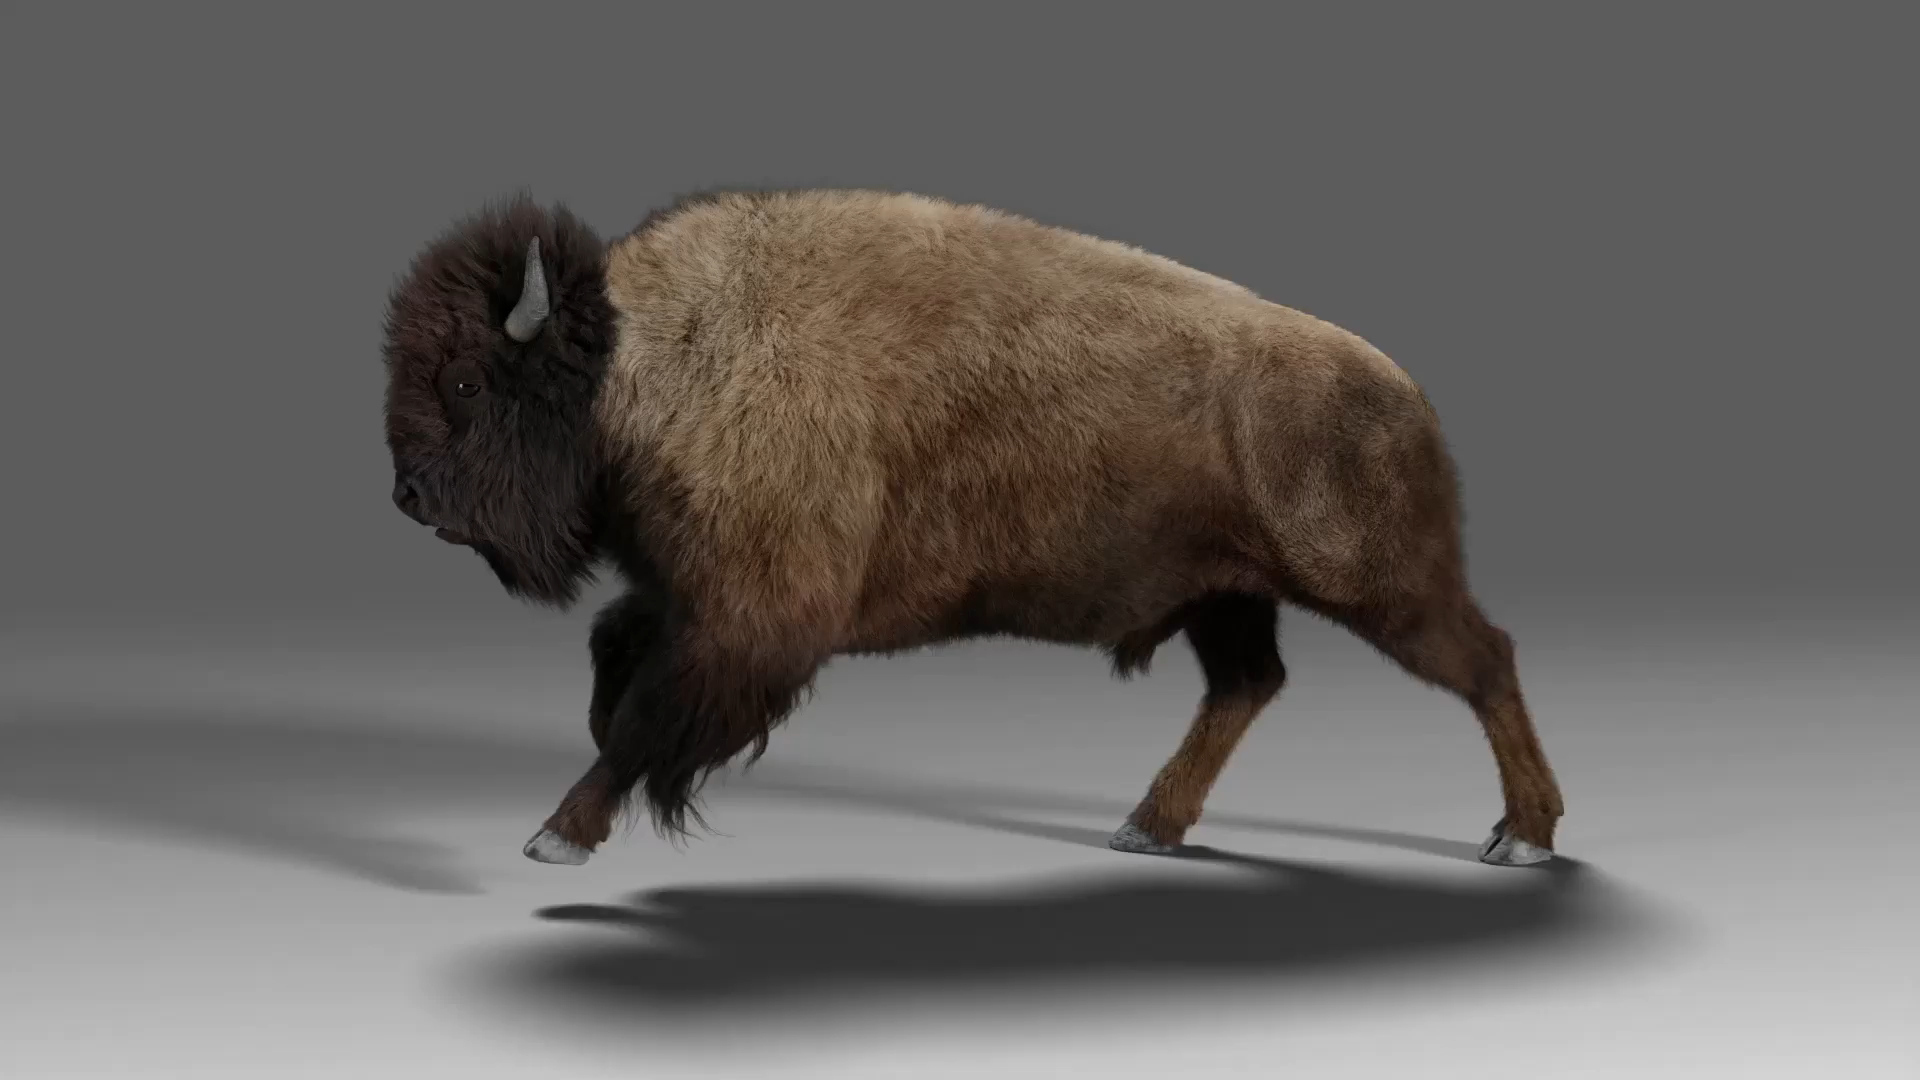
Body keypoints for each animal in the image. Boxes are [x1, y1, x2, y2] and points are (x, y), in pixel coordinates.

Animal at [380, 188, 1565, 869]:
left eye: (465, 377)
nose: (407, 499)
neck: (652, 351)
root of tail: (1401, 390)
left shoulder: (751, 621)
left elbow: (646, 721)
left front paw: (559, 834)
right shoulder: (685, 596)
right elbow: (612, 654)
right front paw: (584, 759)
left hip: (1382, 588)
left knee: (1486, 660)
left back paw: (1523, 837)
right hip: (1226, 594)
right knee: (1249, 685)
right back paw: (1147, 827)